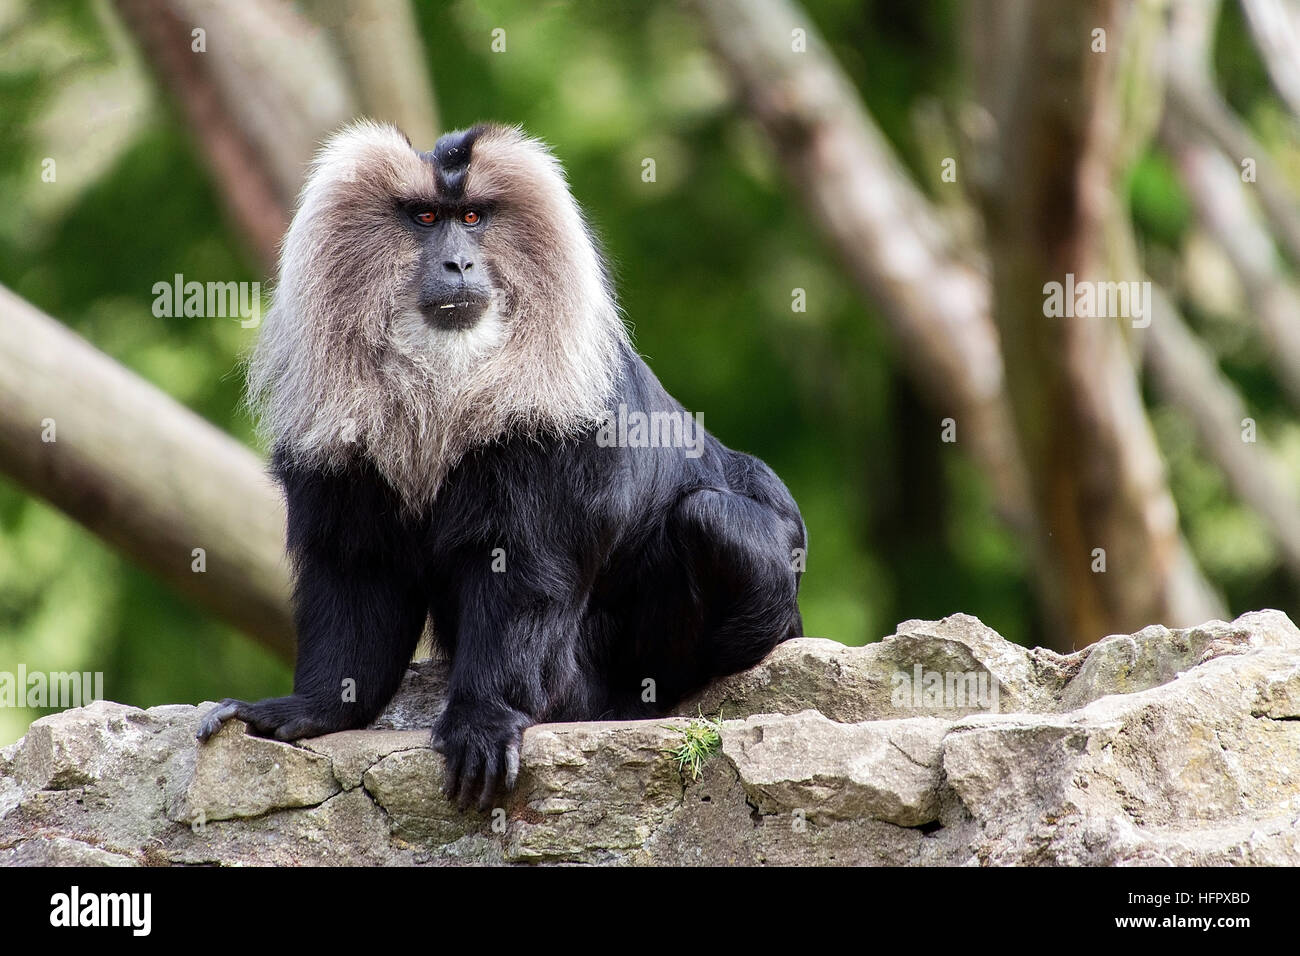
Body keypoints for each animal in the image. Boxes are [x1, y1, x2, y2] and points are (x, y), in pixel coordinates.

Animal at [197, 121, 806, 810]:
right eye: (426, 218)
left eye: (473, 218)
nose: (459, 263)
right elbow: (357, 568)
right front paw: (313, 708)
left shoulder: (557, 436)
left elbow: (525, 572)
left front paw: (484, 718)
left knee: (708, 515)